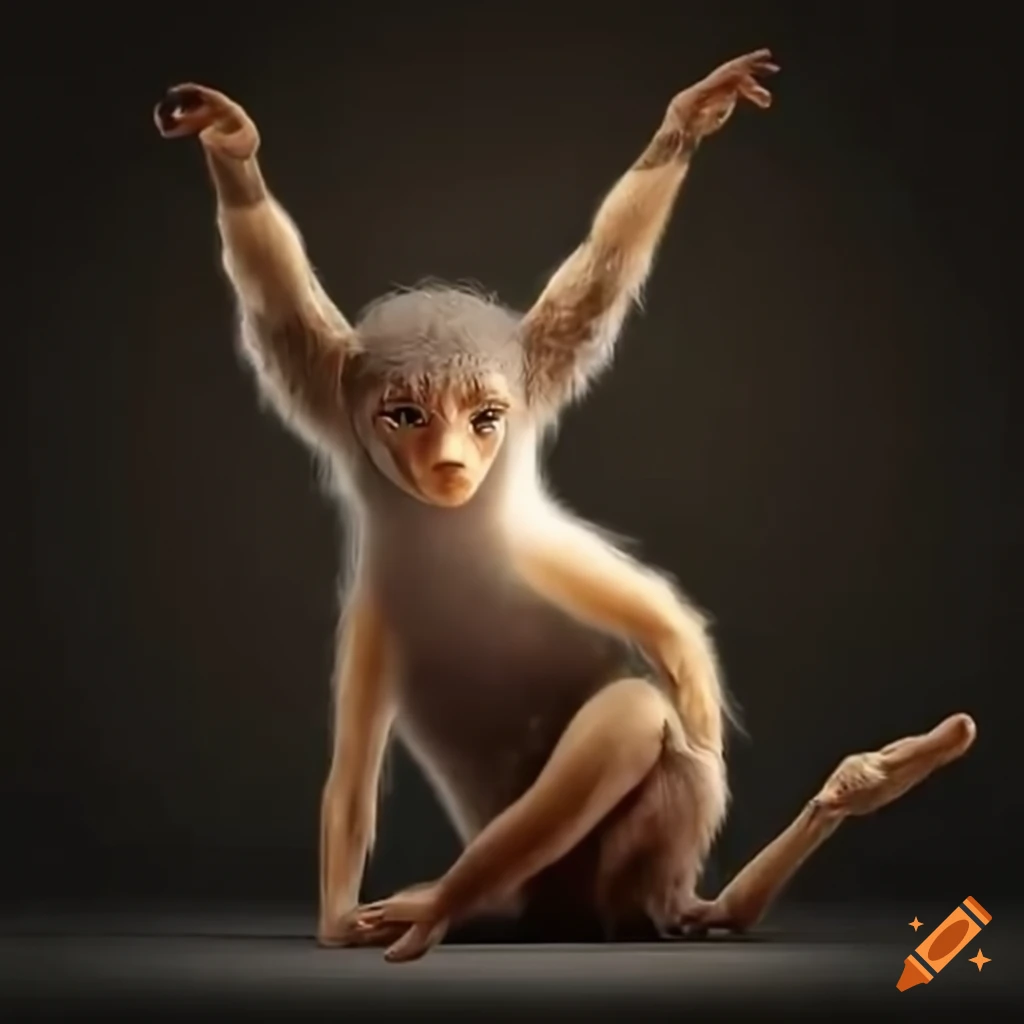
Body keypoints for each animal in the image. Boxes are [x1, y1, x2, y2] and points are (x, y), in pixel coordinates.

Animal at [153, 50, 978, 963]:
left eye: (487, 419)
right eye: (404, 416)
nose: (452, 466)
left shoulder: (522, 429)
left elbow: (597, 287)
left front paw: (690, 119)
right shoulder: (337, 402)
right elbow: (282, 308)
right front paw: (232, 144)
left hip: (628, 869)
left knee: (639, 723)